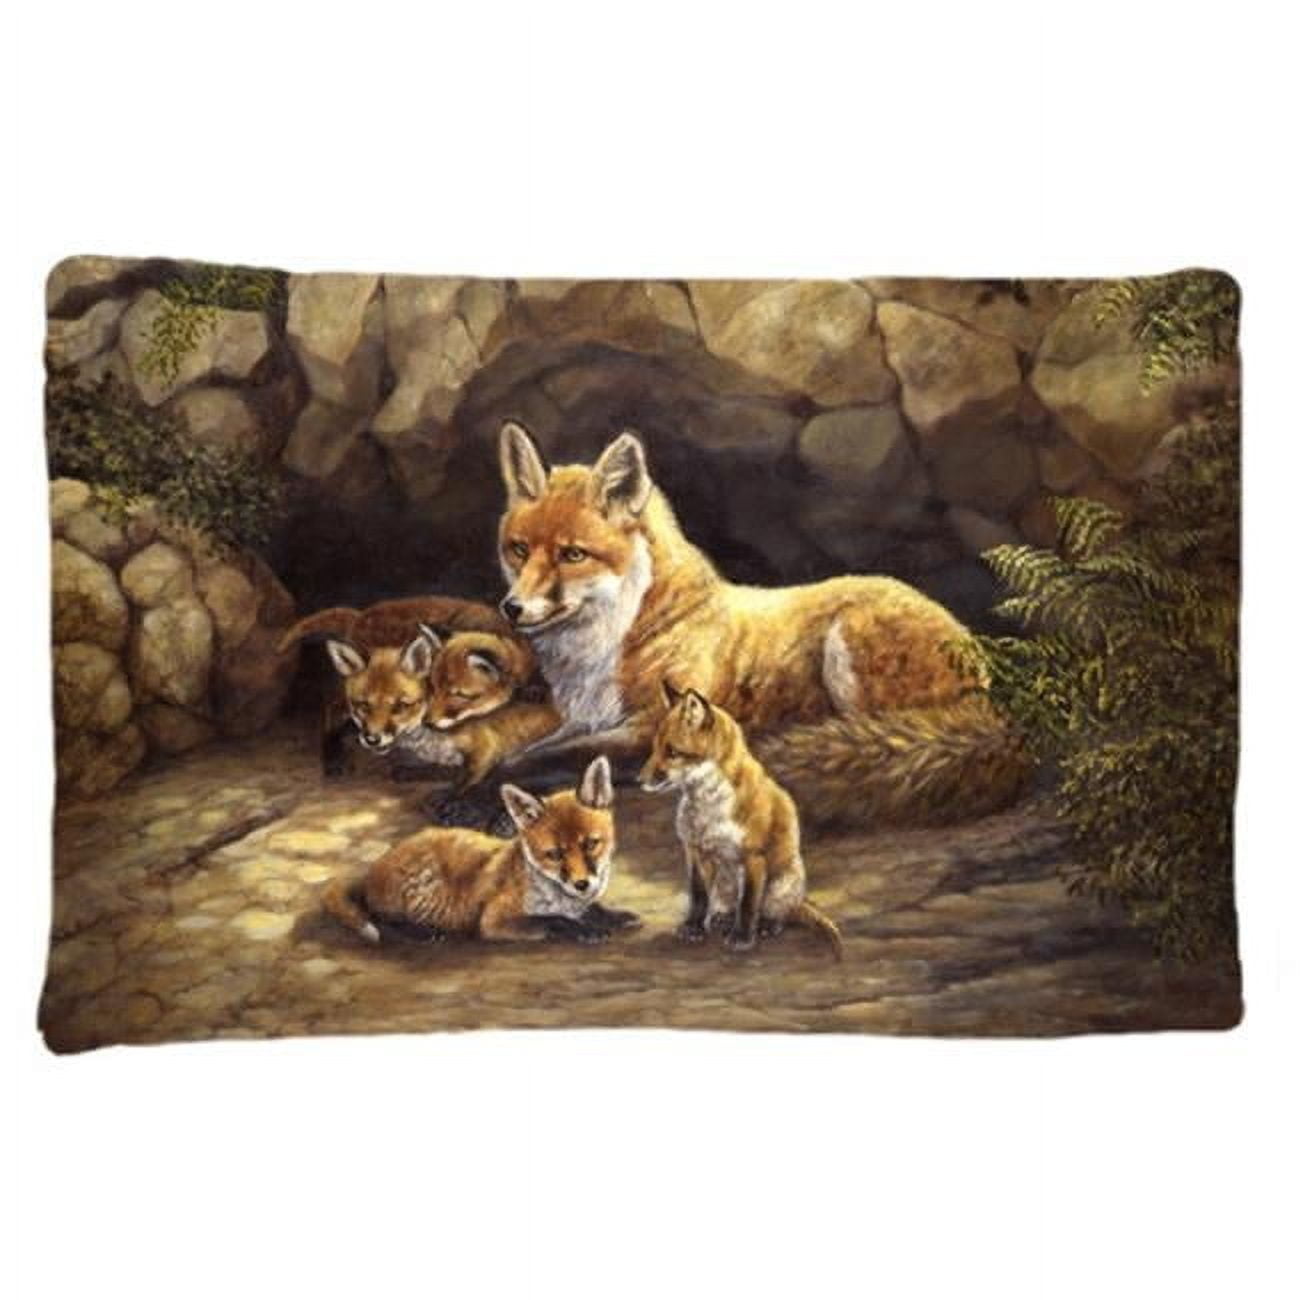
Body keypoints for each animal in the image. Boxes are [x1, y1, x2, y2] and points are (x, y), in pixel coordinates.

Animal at [321, 756, 640, 943]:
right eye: (554, 854)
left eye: (591, 844)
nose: (582, 884)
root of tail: (378, 863)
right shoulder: (494, 922)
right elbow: (554, 920)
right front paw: (584, 930)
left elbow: (593, 909)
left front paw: (612, 915)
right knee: (380, 917)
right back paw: (422, 932)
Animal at [493, 420, 1030, 828]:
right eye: (519, 549)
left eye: (572, 555)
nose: (512, 608)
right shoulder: (586, 719)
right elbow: (540, 744)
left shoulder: (652, 724)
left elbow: (539, 756)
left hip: (847, 649)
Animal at [640, 680, 842, 958]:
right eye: (654, 748)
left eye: (672, 752)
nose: (638, 780)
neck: (709, 805)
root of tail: (801, 898)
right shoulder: (695, 850)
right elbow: (699, 897)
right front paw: (693, 927)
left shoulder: (753, 856)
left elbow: (748, 904)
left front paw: (743, 938)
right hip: (724, 883)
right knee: (726, 905)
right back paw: (722, 919)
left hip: (781, 882)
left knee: (779, 912)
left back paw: (767, 925)